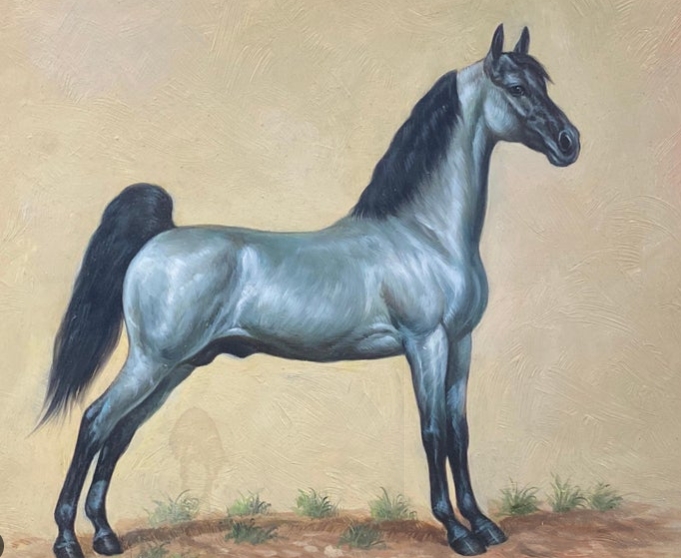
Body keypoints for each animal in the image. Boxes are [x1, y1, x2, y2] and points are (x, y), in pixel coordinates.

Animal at [41, 24, 579, 558]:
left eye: (543, 83)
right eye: (516, 88)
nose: (569, 141)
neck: (424, 234)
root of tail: (159, 237)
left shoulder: (461, 343)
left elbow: (459, 432)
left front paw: (484, 524)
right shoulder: (425, 343)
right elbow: (432, 433)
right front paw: (456, 530)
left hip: (177, 367)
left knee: (120, 432)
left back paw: (106, 535)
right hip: (152, 361)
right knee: (95, 421)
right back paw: (68, 538)